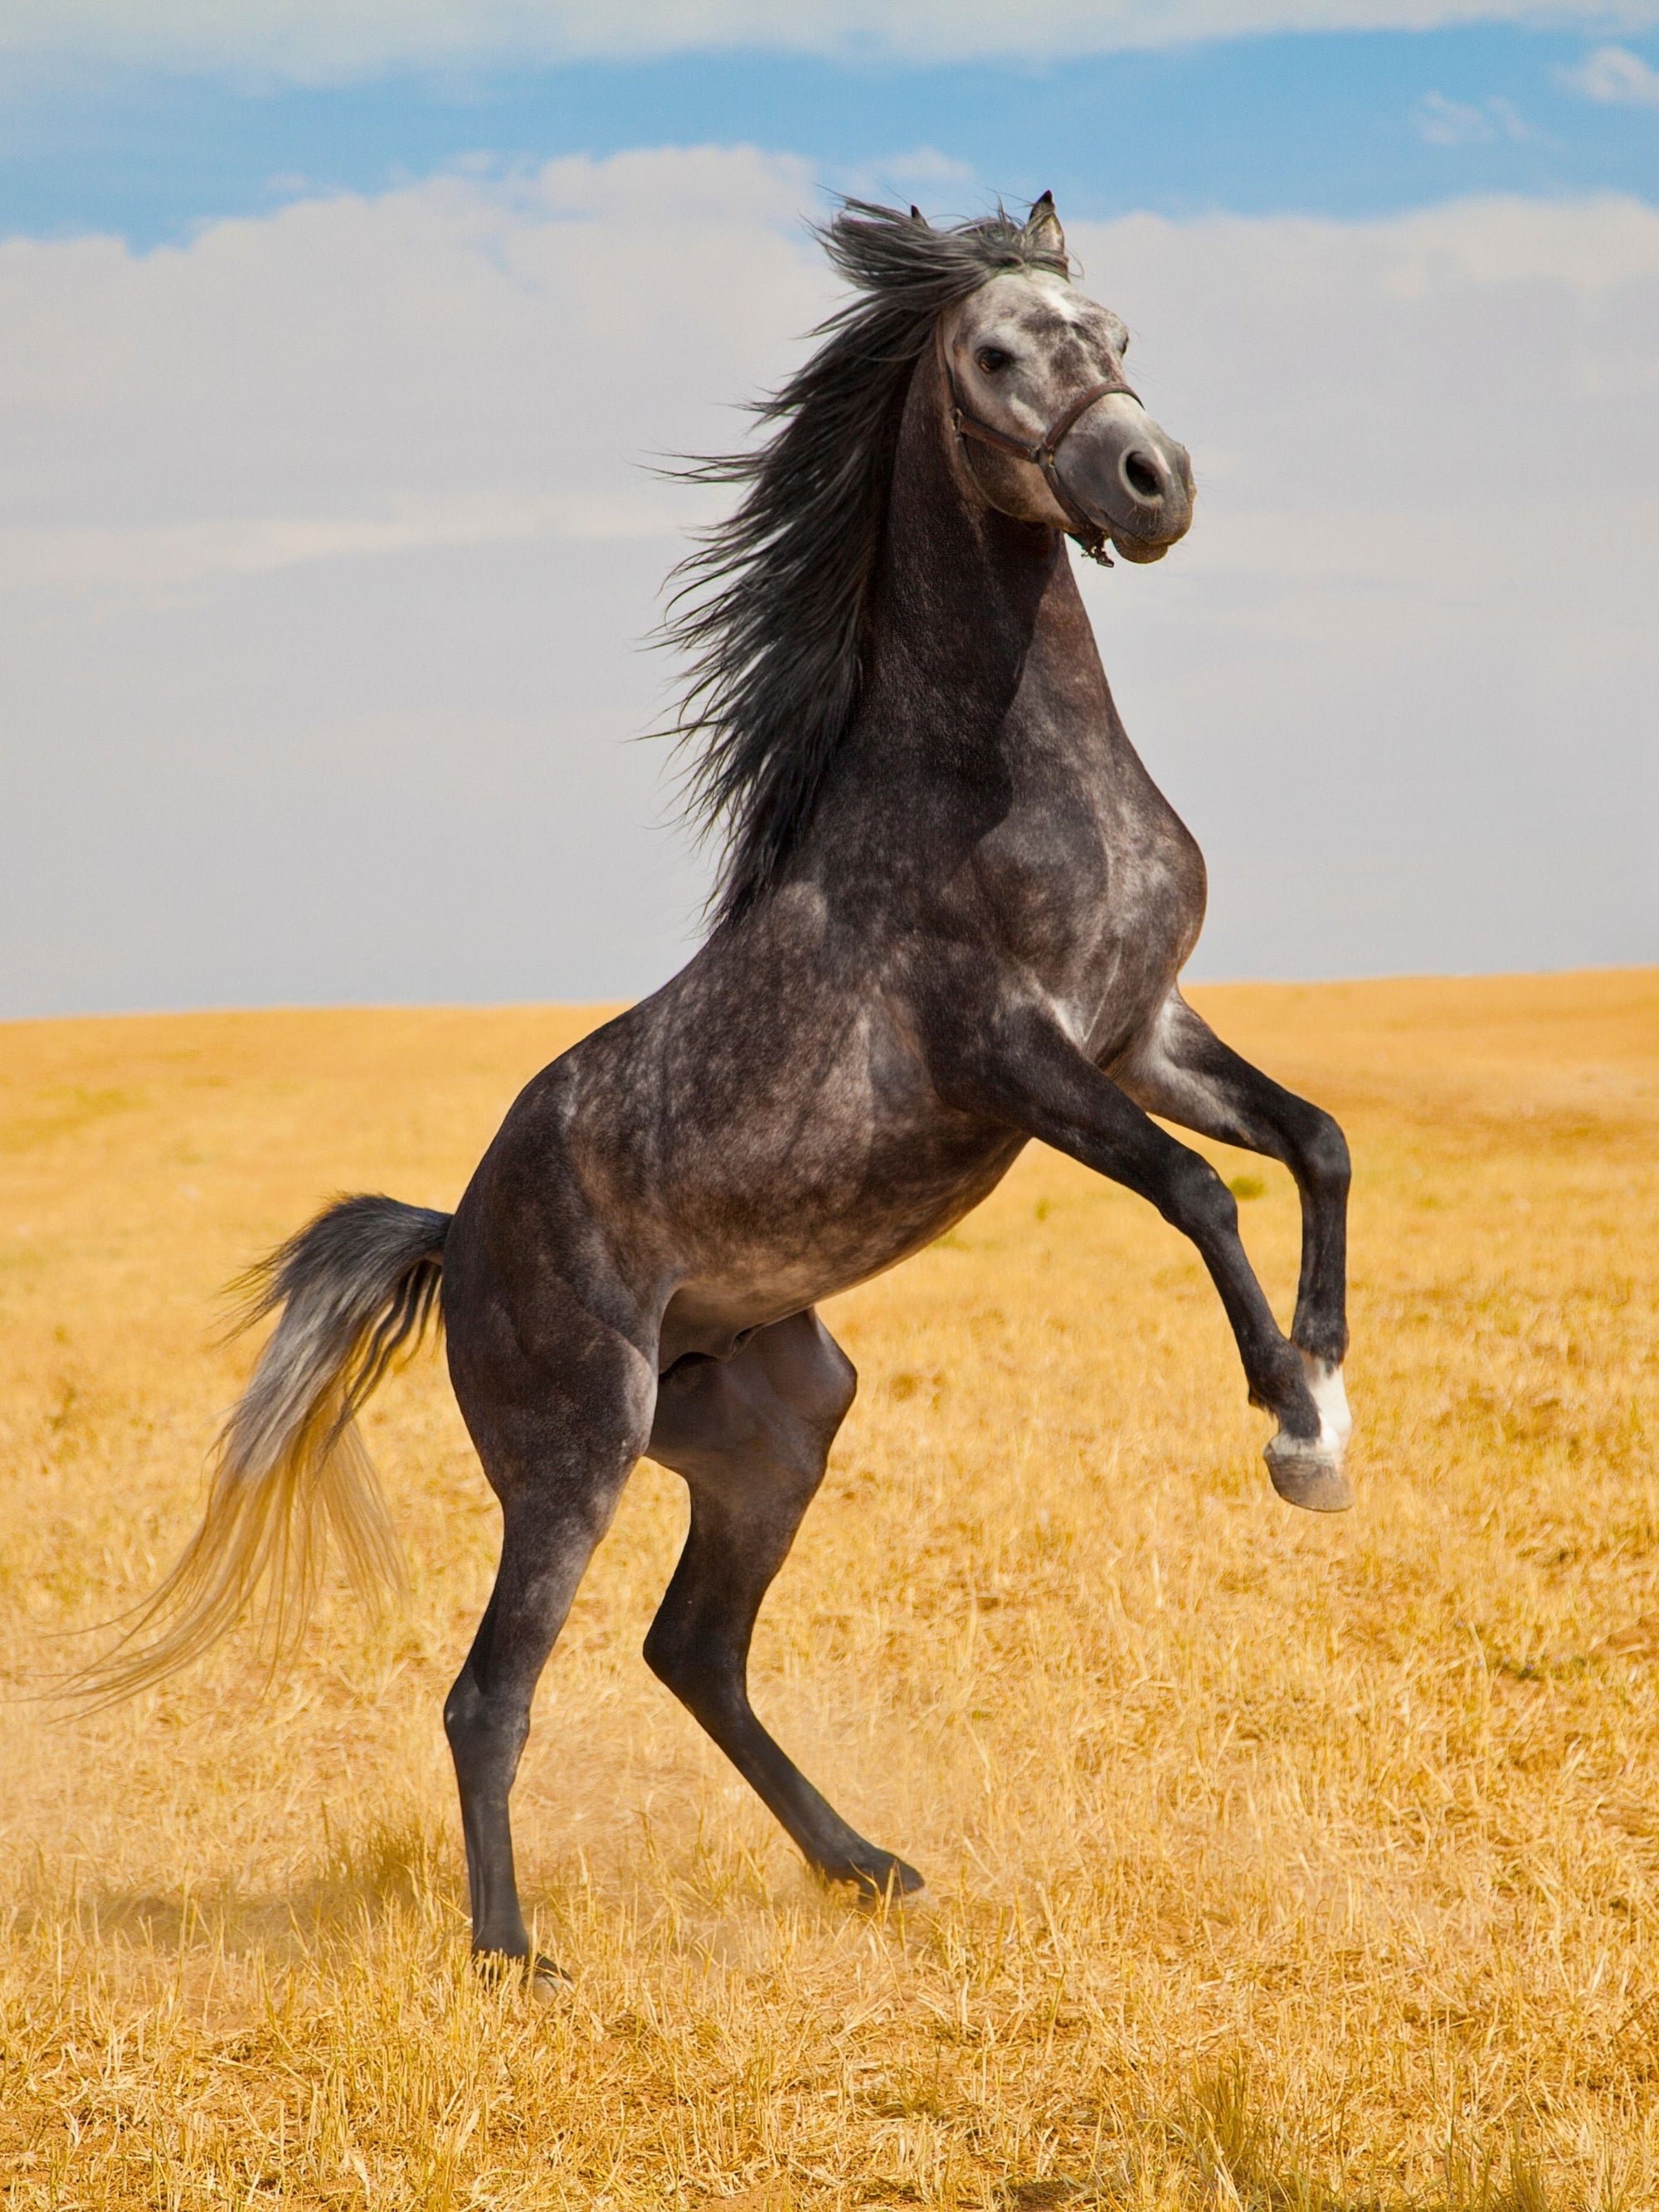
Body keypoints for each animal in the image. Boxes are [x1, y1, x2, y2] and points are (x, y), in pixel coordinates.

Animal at [83, 195, 1353, 1989]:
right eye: (997, 355)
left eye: (1117, 333)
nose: (1149, 479)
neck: (1002, 775)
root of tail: (456, 1233)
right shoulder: (1019, 1054)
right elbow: (1196, 1187)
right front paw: (1290, 1427)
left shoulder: (1143, 1029)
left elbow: (1313, 1142)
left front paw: (1329, 1385)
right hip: (578, 1451)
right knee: (490, 1692)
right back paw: (514, 1959)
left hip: (775, 1429)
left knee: (693, 1652)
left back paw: (865, 1864)